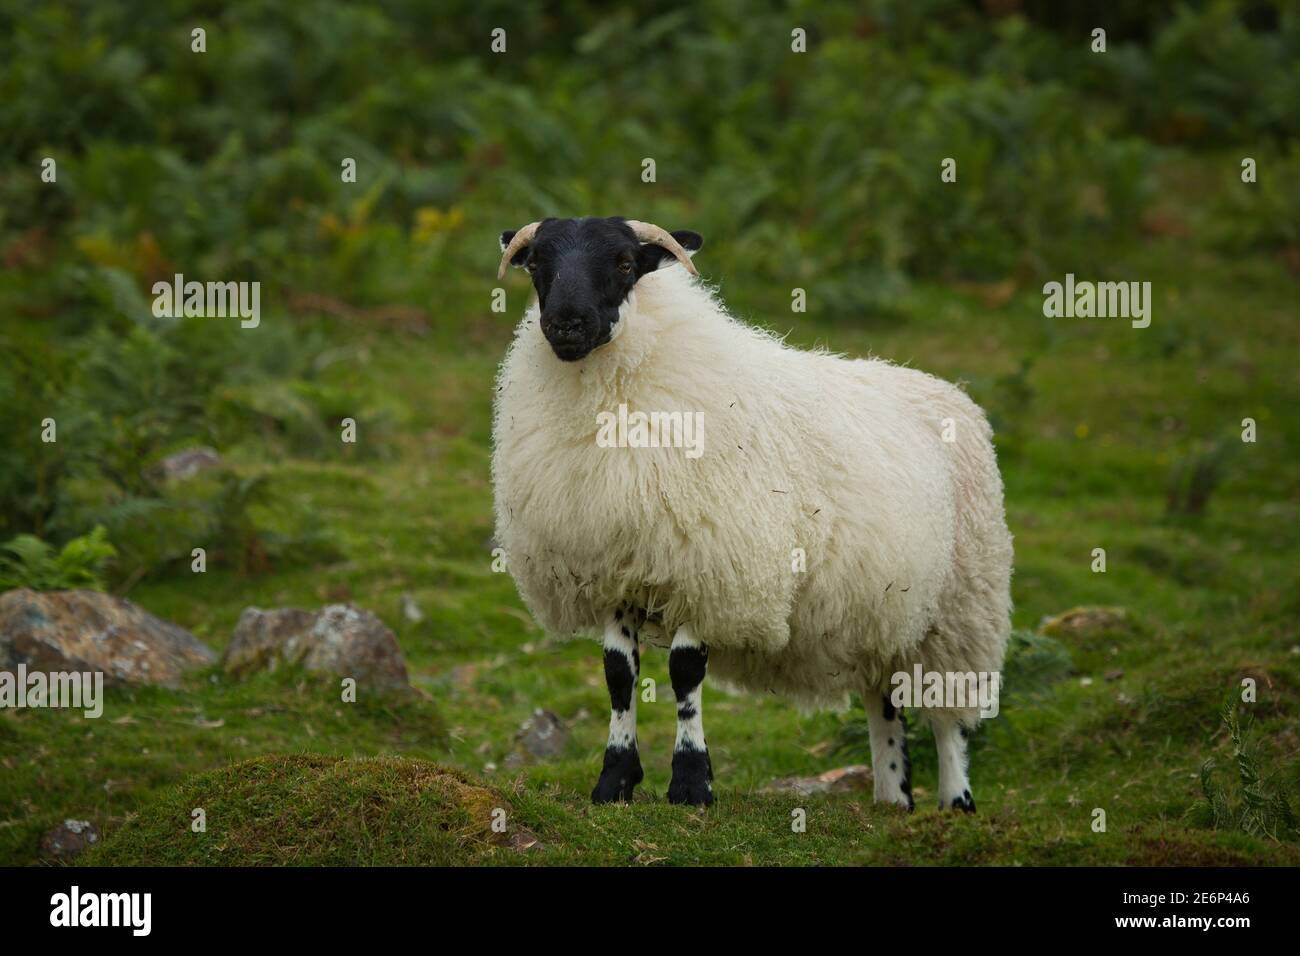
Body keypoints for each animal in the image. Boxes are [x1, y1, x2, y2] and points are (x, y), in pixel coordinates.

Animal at [491, 216, 1013, 810]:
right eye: (537, 263)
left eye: (625, 262)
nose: (565, 323)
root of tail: (944, 389)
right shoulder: (619, 565)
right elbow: (619, 675)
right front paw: (615, 782)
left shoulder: (710, 564)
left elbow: (684, 673)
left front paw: (691, 784)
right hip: (881, 613)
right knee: (884, 700)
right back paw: (891, 798)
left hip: (960, 607)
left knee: (948, 712)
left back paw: (955, 800)